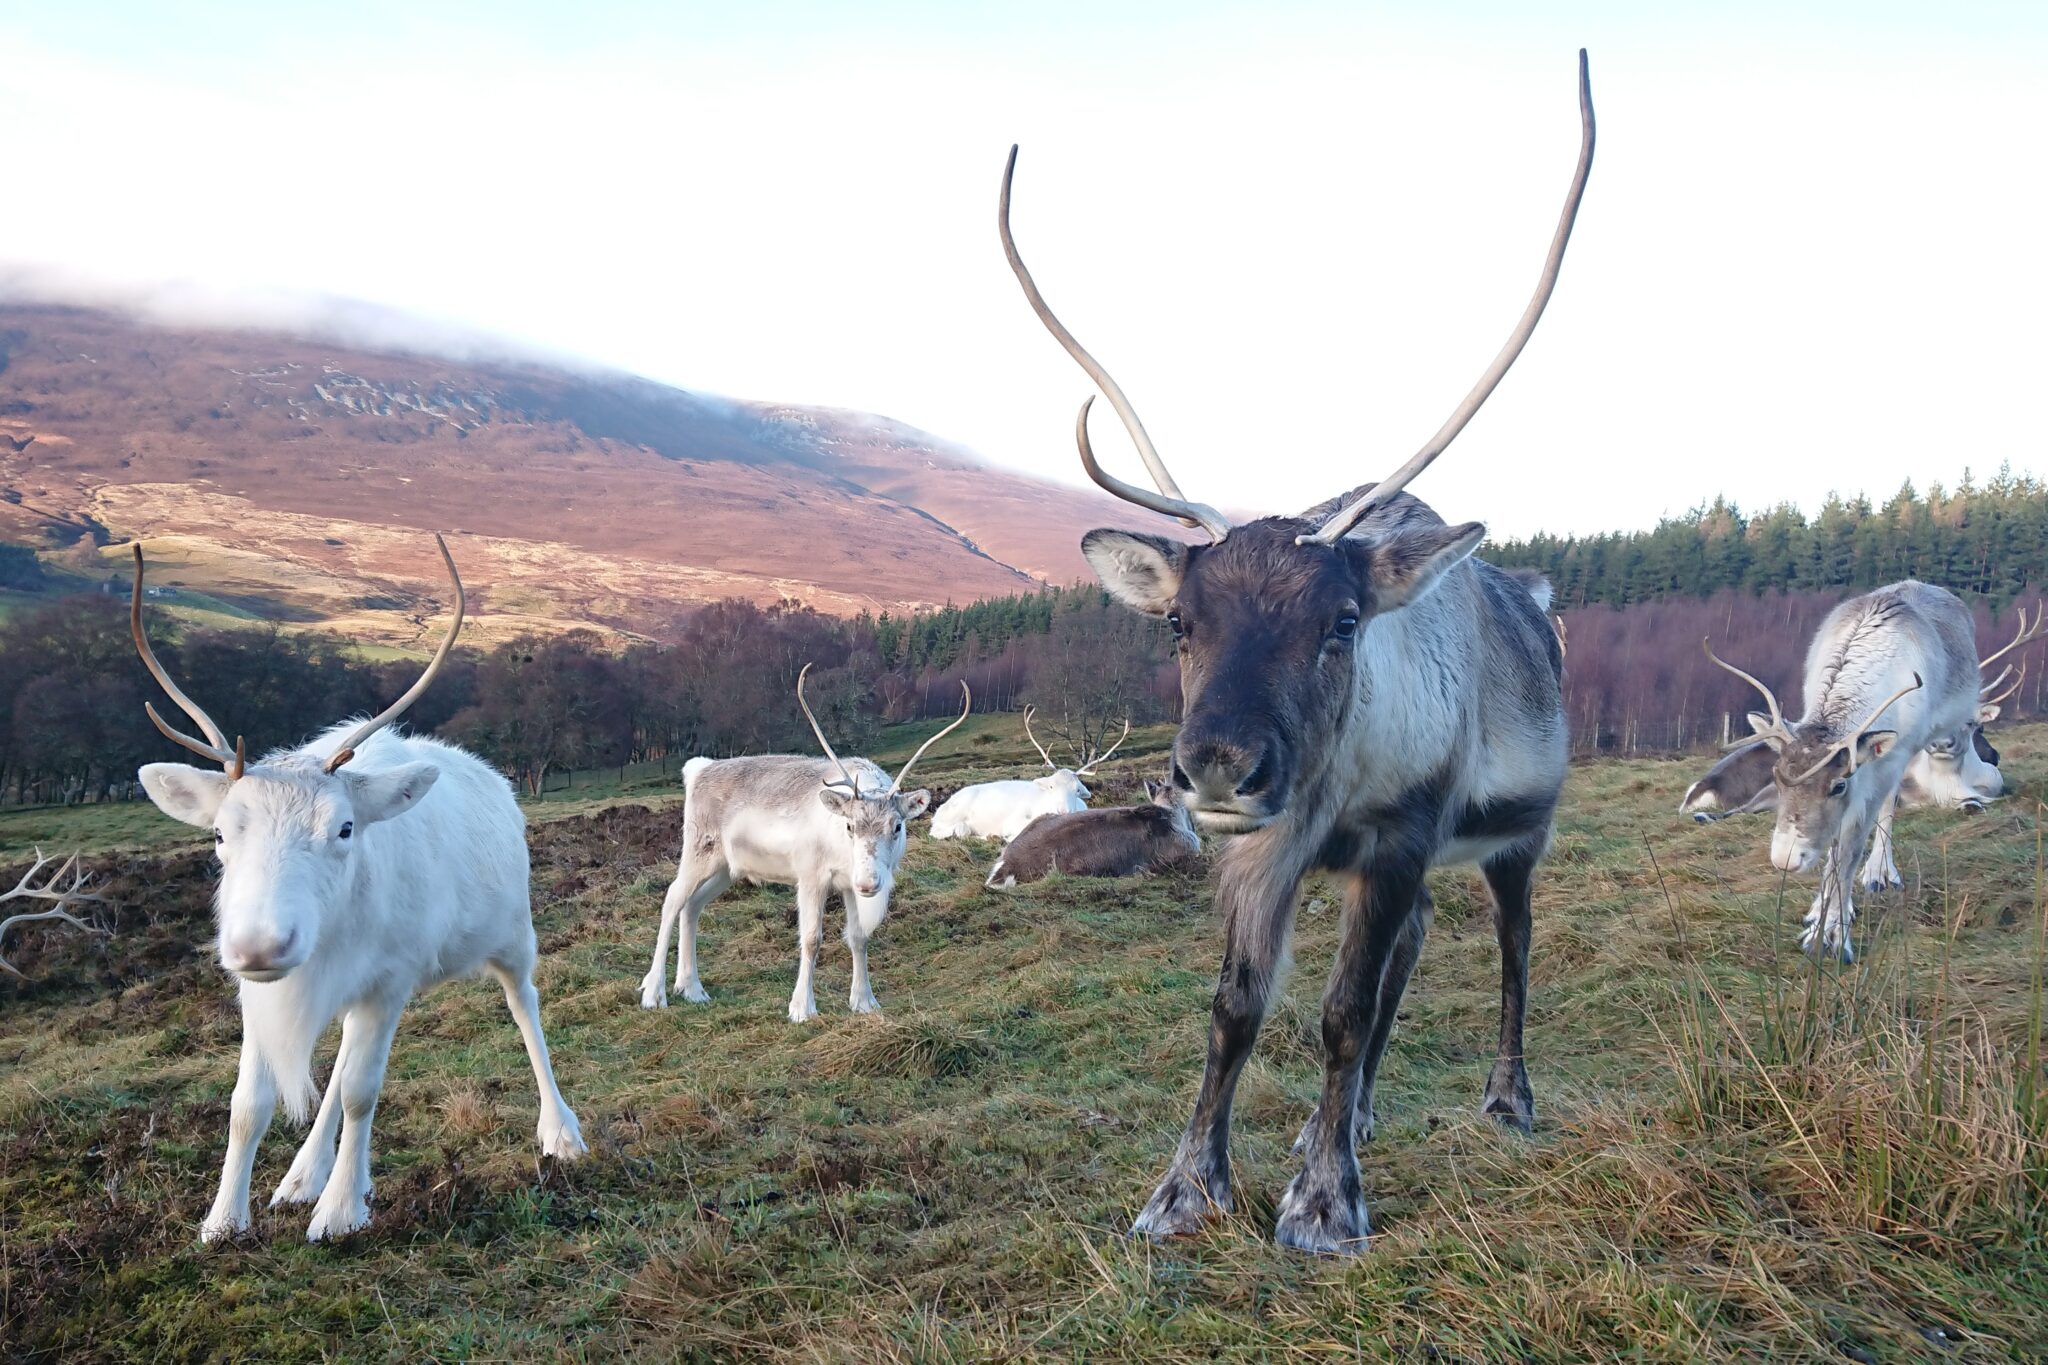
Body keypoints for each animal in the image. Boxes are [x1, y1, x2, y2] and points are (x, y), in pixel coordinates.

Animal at [130, 538, 586, 1243]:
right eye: (219, 833)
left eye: (344, 827)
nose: (261, 946)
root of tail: (498, 780)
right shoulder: (259, 992)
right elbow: (248, 1103)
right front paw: (223, 1220)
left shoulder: (392, 978)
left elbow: (359, 1092)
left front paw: (341, 1212)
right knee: (342, 1051)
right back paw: (299, 1177)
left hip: (513, 934)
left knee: (524, 1006)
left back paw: (560, 1132)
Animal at [639, 666, 969, 1022]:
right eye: (849, 825)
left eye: (897, 826)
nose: (869, 883)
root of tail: (698, 770)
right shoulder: (811, 876)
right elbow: (811, 939)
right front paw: (801, 1007)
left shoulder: (848, 885)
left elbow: (858, 937)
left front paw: (865, 1001)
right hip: (699, 848)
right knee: (673, 899)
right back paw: (654, 992)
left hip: (728, 867)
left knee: (693, 905)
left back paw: (692, 988)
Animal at [927, 708, 1129, 842]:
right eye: (1051, 786)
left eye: (1077, 790)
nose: (1062, 811)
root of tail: (940, 807)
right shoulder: (1013, 821)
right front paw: (1001, 836)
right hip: (952, 814)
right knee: (941, 830)